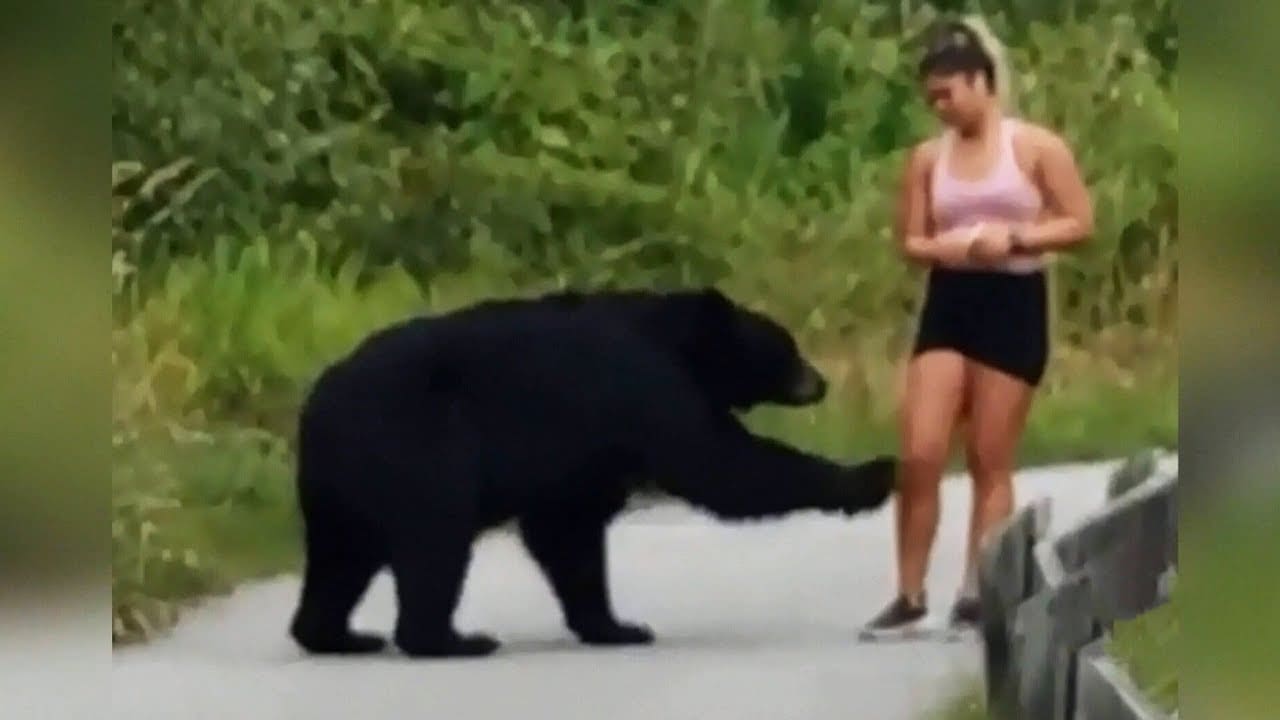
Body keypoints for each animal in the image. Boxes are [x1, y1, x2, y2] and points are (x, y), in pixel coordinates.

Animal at [287, 287, 898, 659]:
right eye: (786, 346)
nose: (820, 381)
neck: (673, 341)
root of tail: (315, 410)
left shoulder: (583, 451)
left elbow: (569, 530)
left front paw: (617, 627)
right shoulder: (644, 390)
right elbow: (723, 467)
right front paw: (874, 474)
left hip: (345, 488)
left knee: (341, 559)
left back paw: (337, 635)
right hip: (418, 448)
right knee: (435, 538)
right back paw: (450, 639)